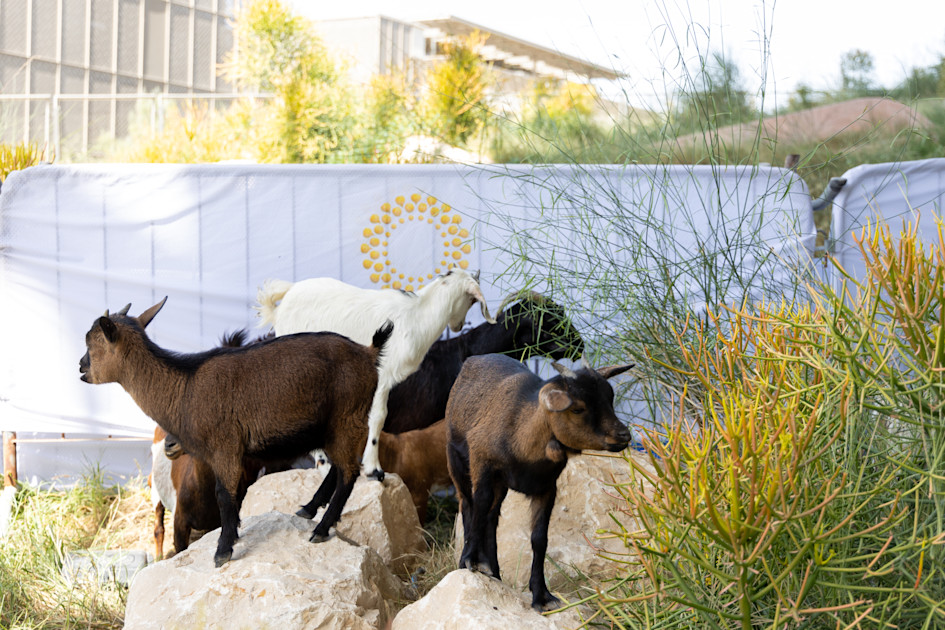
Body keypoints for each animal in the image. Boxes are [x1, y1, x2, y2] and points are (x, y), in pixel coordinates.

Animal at [80, 298, 391, 567]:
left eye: (91, 342)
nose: (81, 366)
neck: (184, 387)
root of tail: (369, 353)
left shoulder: (225, 447)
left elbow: (224, 495)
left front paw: (223, 551)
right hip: (332, 427)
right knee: (338, 467)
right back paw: (308, 509)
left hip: (347, 418)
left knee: (349, 472)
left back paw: (321, 529)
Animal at [256, 268, 495, 481]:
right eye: (472, 300)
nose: (459, 326)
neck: (417, 315)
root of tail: (285, 298)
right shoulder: (382, 375)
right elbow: (378, 418)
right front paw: (374, 470)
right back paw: (323, 466)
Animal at [445, 354, 633, 611]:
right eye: (577, 408)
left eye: (610, 397)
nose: (623, 435)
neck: (521, 434)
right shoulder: (481, 461)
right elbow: (479, 506)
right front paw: (470, 560)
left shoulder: (547, 487)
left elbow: (539, 539)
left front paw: (542, 596)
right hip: (454, 458)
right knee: (467, 504)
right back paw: (474, 561)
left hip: (501, 484)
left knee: (492, 517)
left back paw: (495, 571)